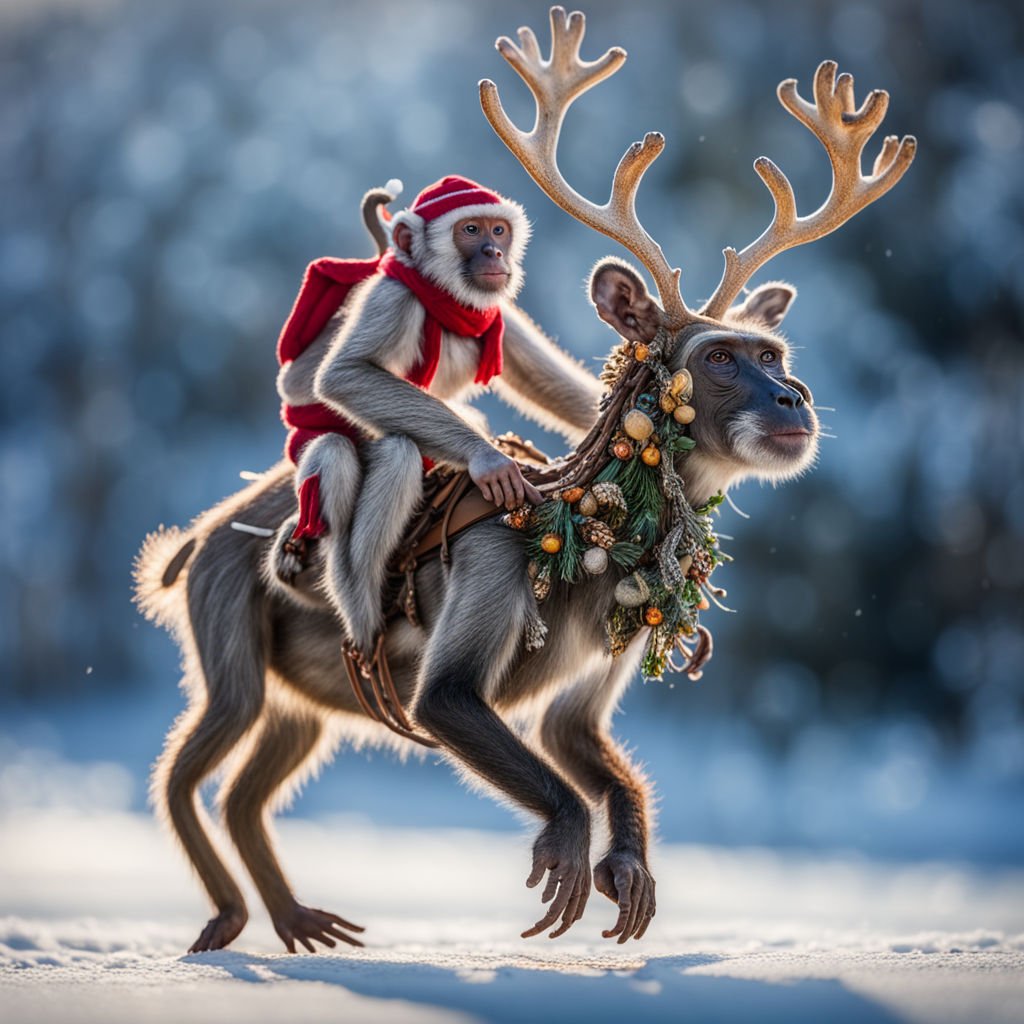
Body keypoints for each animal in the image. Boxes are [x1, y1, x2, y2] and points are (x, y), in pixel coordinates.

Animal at [271, 175, 601, 657]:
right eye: (471, 230)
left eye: (498, 230)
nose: (495, 252)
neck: (443, 299)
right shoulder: (394, 299)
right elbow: (344, 376)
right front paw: (488, 459)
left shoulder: (493, 311)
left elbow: (547, 383)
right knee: (363, 452)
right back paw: (358, 603)